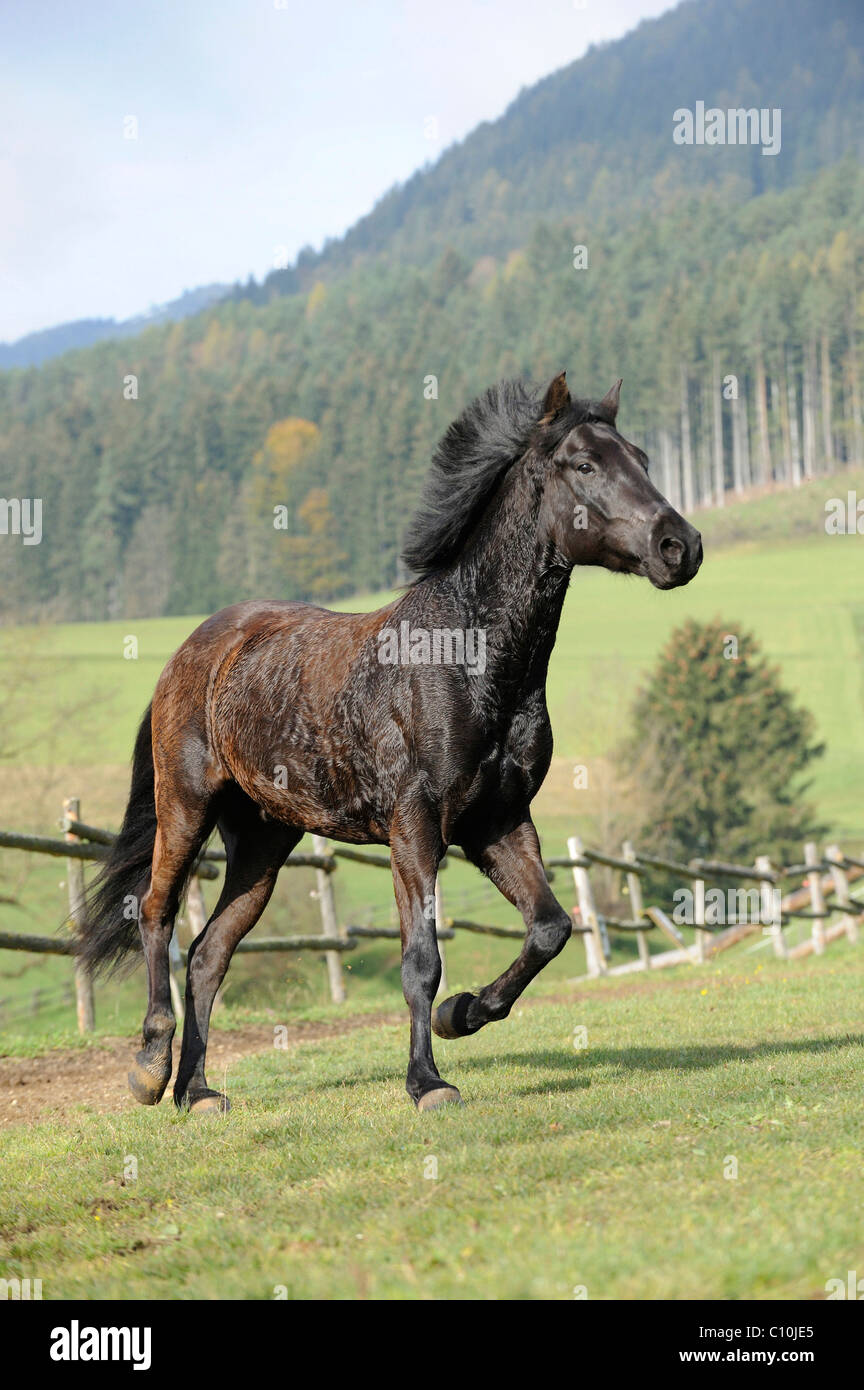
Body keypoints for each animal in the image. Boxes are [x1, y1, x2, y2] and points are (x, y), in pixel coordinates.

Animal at [79, 372, 702, 1114]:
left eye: (641, 457)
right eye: (584, 465)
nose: (680, 546)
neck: (468, 658)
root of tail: (188, 652)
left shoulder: (497, 824)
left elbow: (550, 927)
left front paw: (463, 1014)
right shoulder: (415, 826)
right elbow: (421, 960)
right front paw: (428, 1083)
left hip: (262, 841)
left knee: (209, 951)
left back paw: (197, 1091)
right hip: (187, 805)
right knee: (156, 912)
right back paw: (150, 1069)